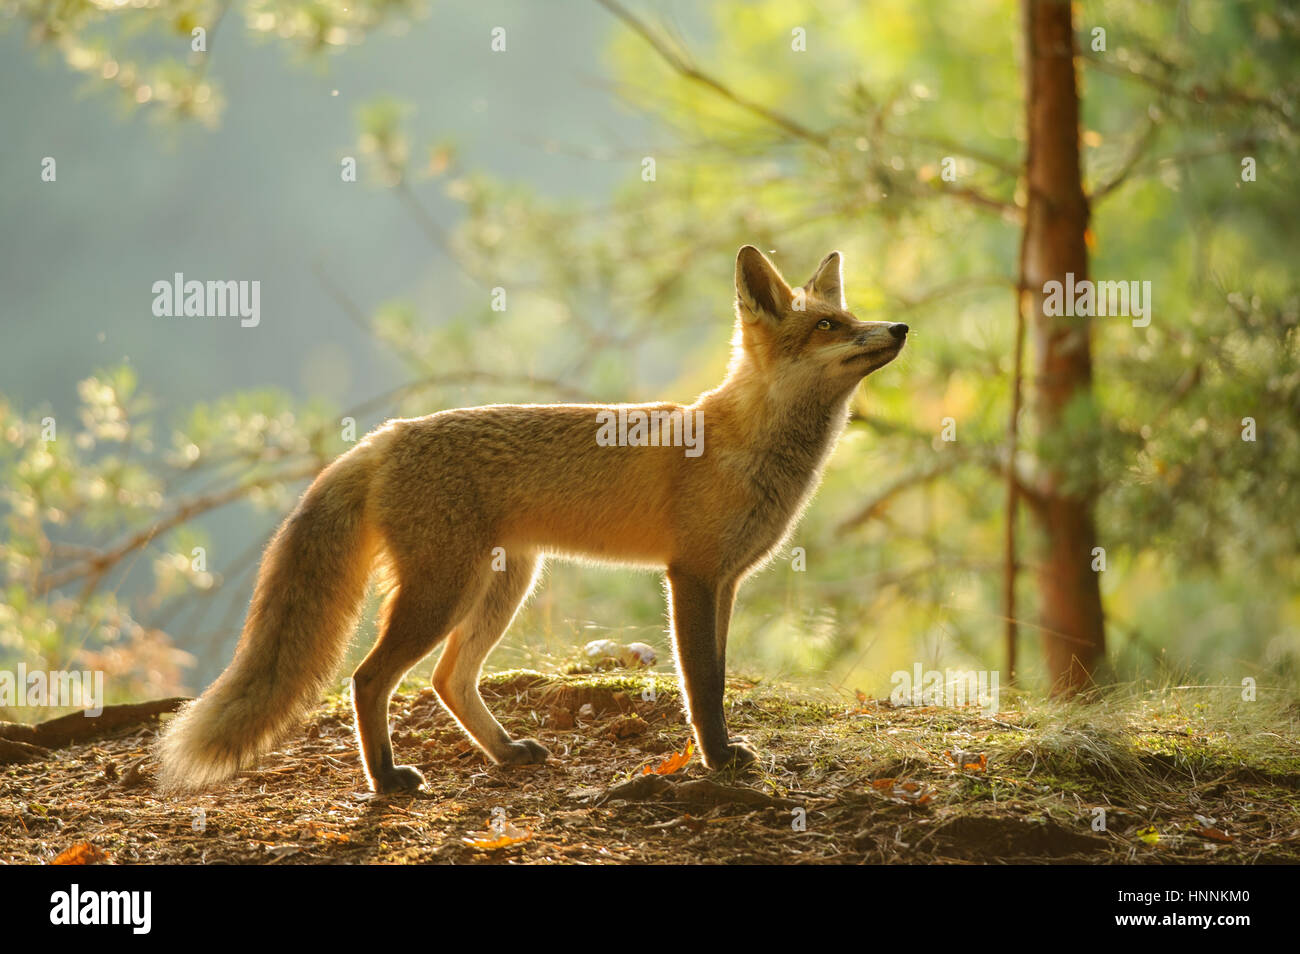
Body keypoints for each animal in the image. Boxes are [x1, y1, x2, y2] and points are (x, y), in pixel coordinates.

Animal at [156, 246, 908, 794]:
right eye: (828, 327)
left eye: (850, 316)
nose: (899, 328)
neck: (743, 443)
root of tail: (388, 435)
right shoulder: (690, 576)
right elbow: (704, 685)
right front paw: (717, 761)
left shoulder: (724, 582)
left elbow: (716, 675)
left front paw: (718, 755)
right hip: (444, 591)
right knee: (370, 679)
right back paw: (387, 781)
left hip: (504, 584)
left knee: (447, 680)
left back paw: (502, 754)